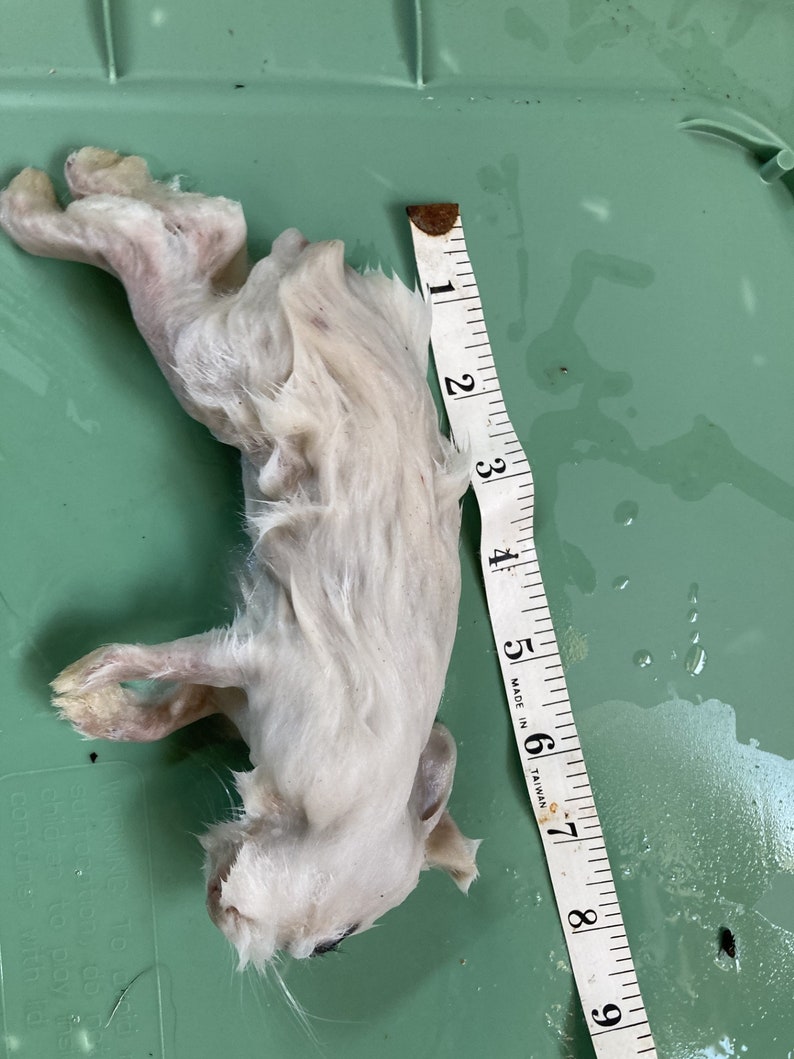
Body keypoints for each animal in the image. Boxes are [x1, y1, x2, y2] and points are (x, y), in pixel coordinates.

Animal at [0, 148, 479, 969]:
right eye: (334, 946)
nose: (223, 920)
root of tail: (322, 272)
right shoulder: (264, 657)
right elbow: (160, 655)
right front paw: (76, 683)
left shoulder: (234, 691)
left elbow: (170, 707)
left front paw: (93, 714)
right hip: (212, 359)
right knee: (157, 249)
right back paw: (41, 201)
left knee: (210, 227)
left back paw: (95, 175)